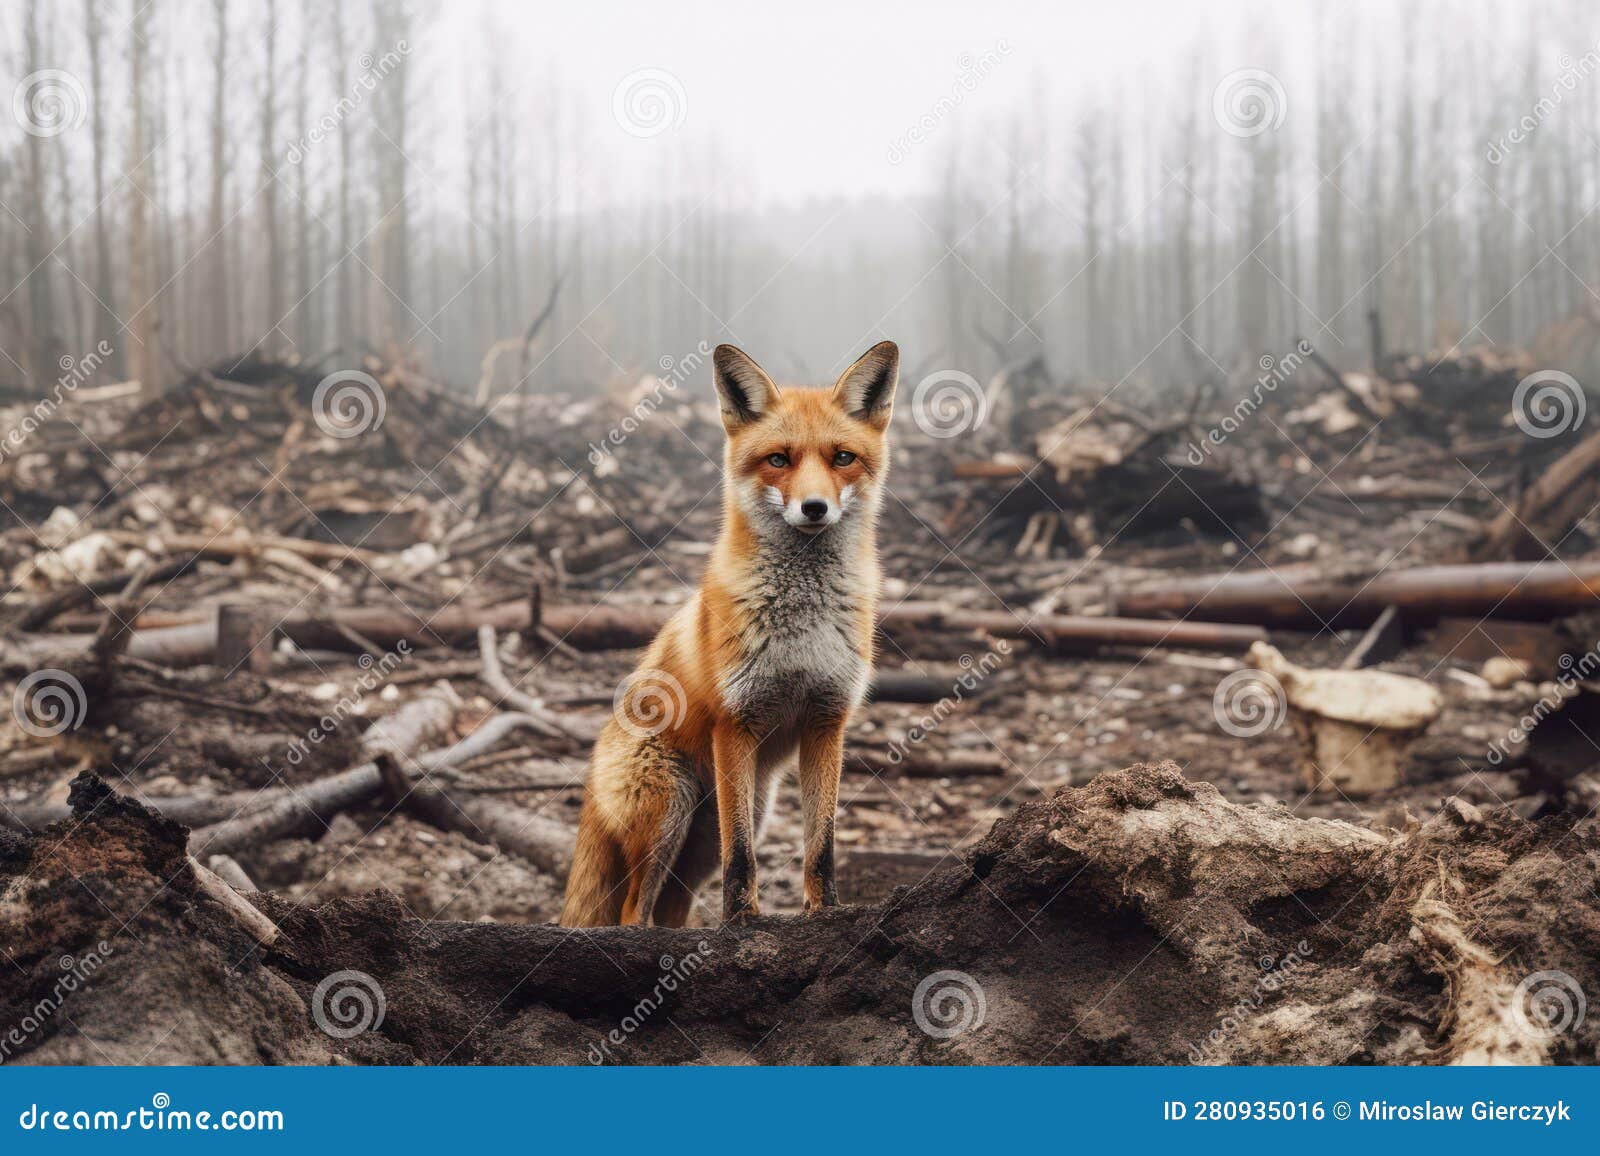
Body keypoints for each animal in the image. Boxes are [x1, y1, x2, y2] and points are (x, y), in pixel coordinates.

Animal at [559, 340, 900, 927]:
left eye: (842, 458)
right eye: (779, 459)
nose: (814, 507)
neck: (800, 629)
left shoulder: (827, 721)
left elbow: (822, 845)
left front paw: (824, 912)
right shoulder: (734, 724)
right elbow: (741, 856)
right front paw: (742, 921)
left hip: (714, 832)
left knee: (671, 907)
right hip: (672, 807)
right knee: (632, 910)